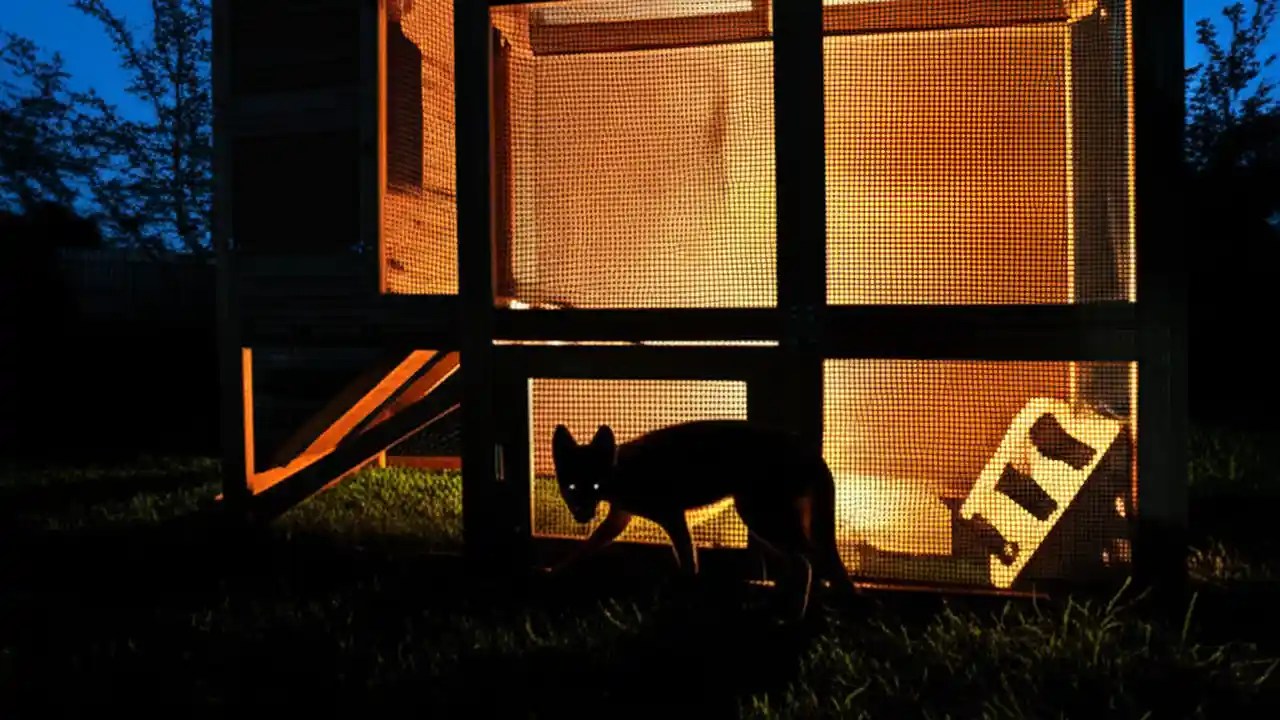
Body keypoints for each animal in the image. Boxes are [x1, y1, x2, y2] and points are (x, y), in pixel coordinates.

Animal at [548, 419, 859, 618]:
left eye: (595, 485)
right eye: (572, 487)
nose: (582, 515)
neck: (621, 471)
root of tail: (809, 449)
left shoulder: (672, 516)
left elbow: (688, 561)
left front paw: (685, 596)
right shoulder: (619, 519)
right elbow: (586, 547)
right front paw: (557, 571)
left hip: (760, 517)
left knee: (812, 562)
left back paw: (805, 614)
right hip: (772, 522)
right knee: (809, 564)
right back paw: (795, 610)